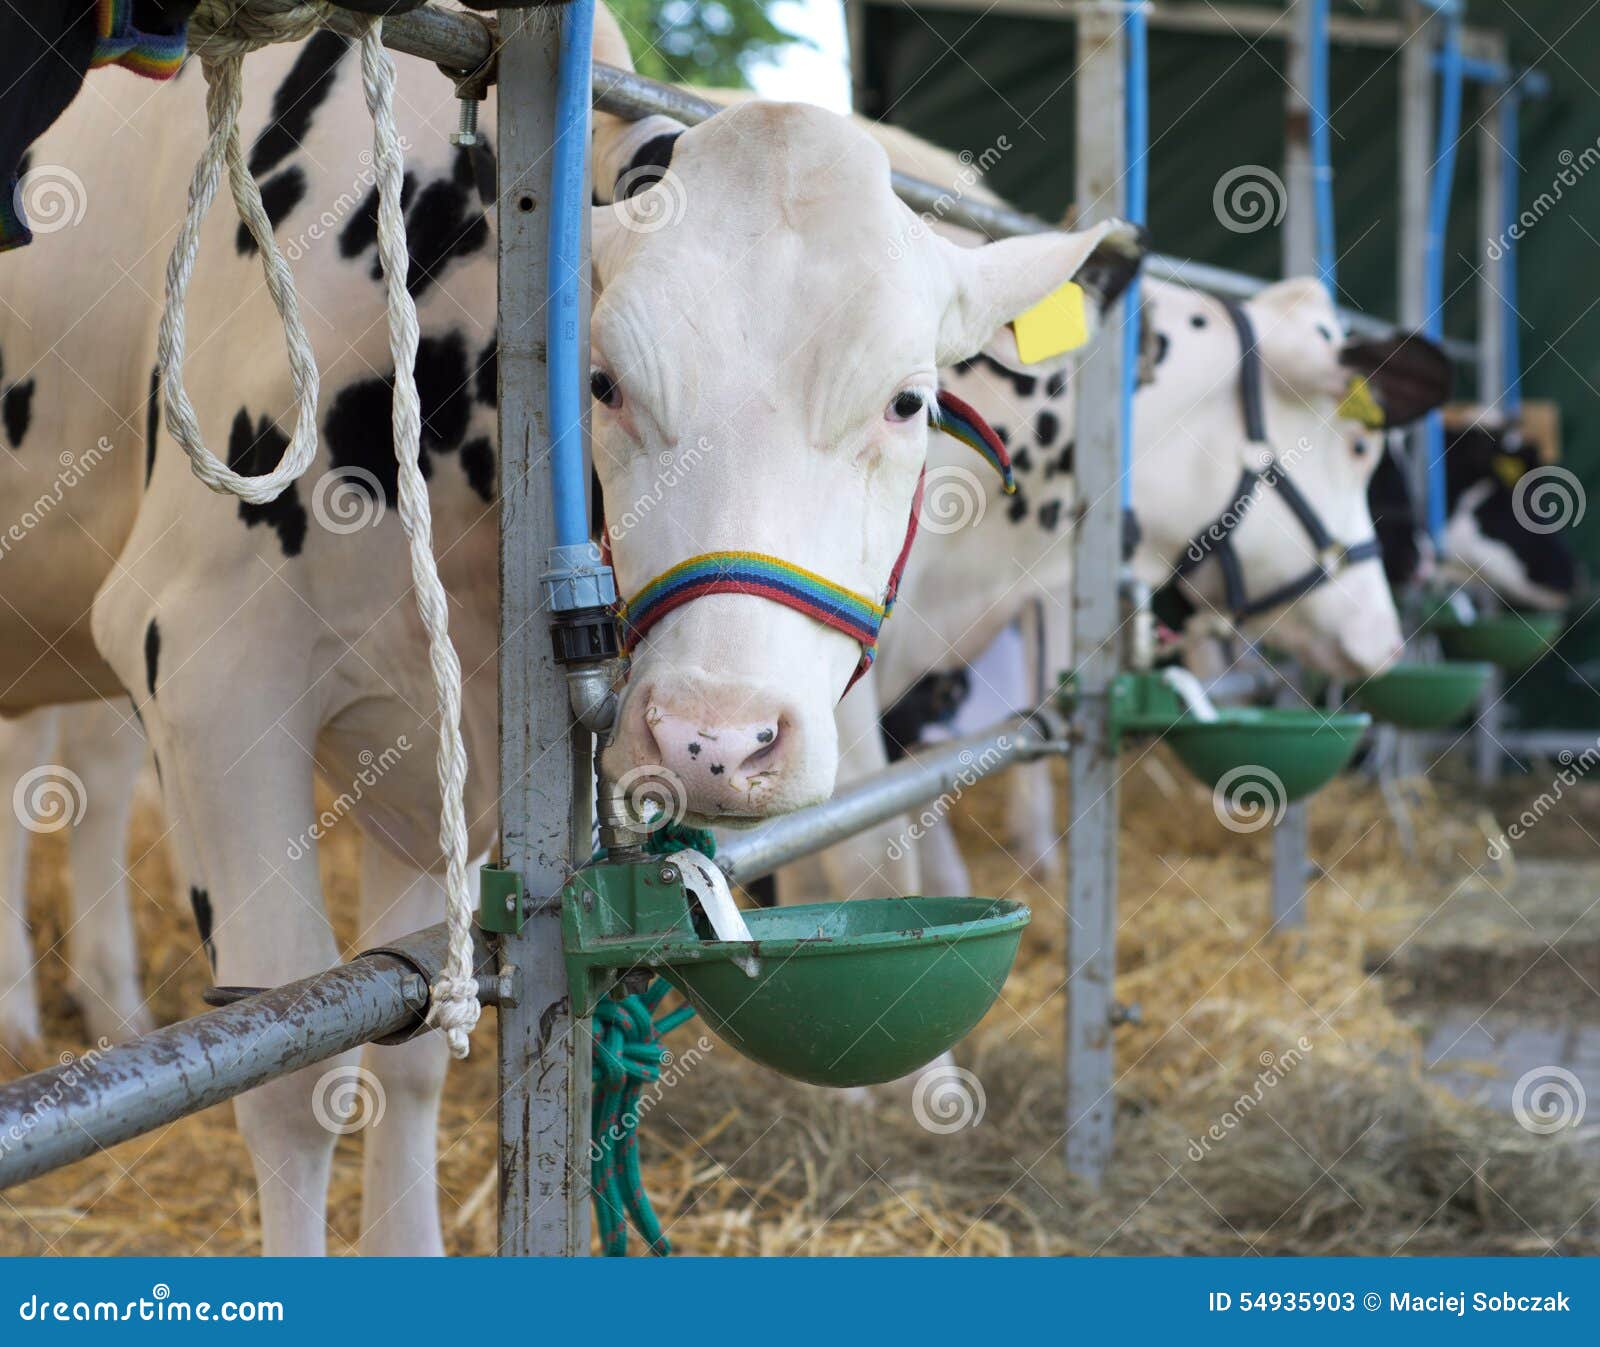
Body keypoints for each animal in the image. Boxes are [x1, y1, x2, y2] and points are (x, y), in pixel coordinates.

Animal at [0, 7, 1139, 1253]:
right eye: (602, 382)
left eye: (908, 401)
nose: (715, 740)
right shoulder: (204, 660)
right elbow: (295, 1081)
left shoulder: (438, 738)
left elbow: (410, 1052)